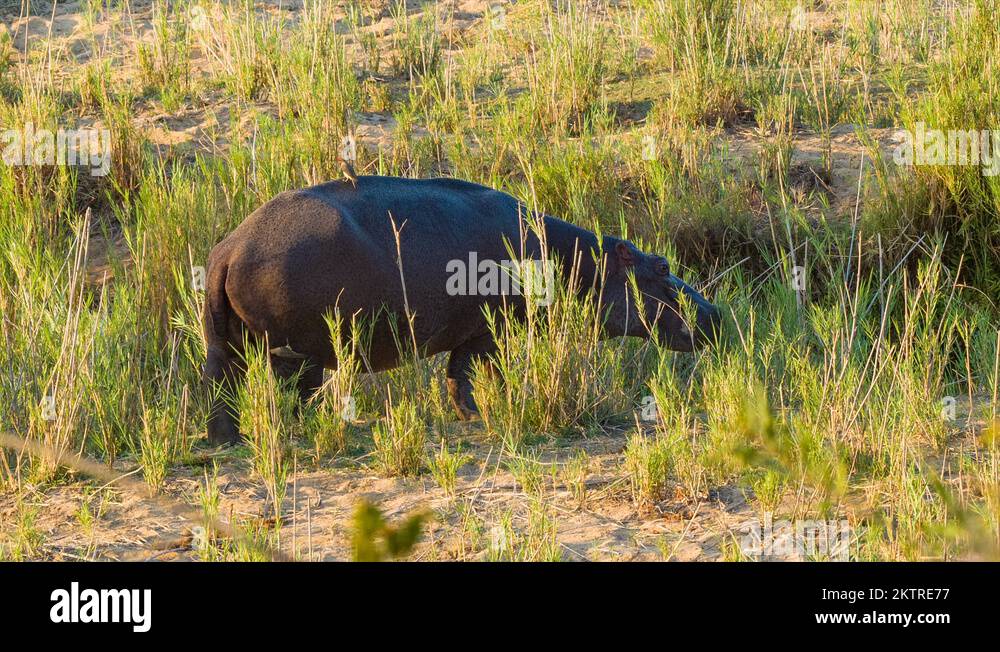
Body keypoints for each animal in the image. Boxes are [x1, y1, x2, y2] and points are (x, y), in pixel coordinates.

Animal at [203, 175, 721, 445]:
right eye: (661, 266)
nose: (716, 313)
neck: (580, 260)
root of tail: (229, 247)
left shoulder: (480, 332)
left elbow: (467, 374)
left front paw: (480, 410)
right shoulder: (488, 331)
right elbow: (473, 373)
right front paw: (487, 411)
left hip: (226, 346)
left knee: (221, 390)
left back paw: (224, 441)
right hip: (299, 352)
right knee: (293, 393)